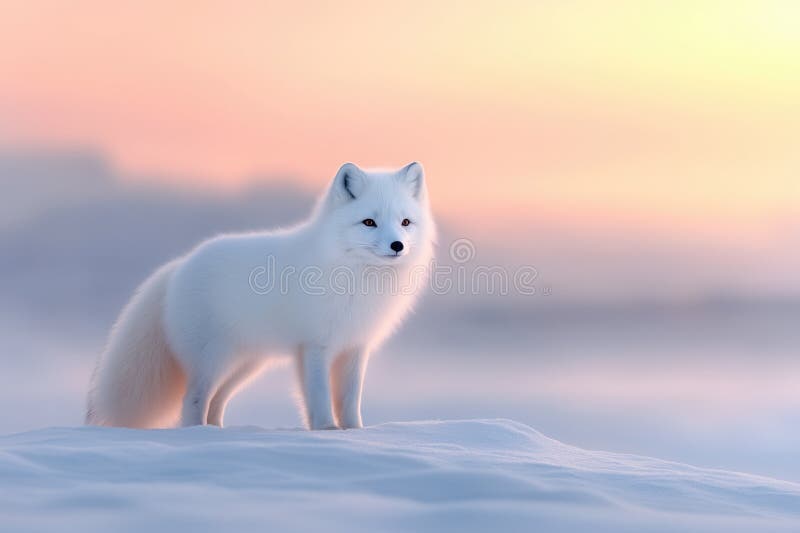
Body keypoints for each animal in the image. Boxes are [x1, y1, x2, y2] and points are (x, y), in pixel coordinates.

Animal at [86, 162, 434, 430]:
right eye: (369, 222)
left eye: (405, 222)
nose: (397, 245)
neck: (355, 277)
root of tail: (178, 266)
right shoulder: (314, 346)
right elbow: (320, 395)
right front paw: (325, 429)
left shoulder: (355, 347)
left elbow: (350, 399)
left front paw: (355, 432)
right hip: (213, 359)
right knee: (193, 398)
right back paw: (197, 434)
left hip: (245, 363)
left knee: (217, 399)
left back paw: (218, 430)